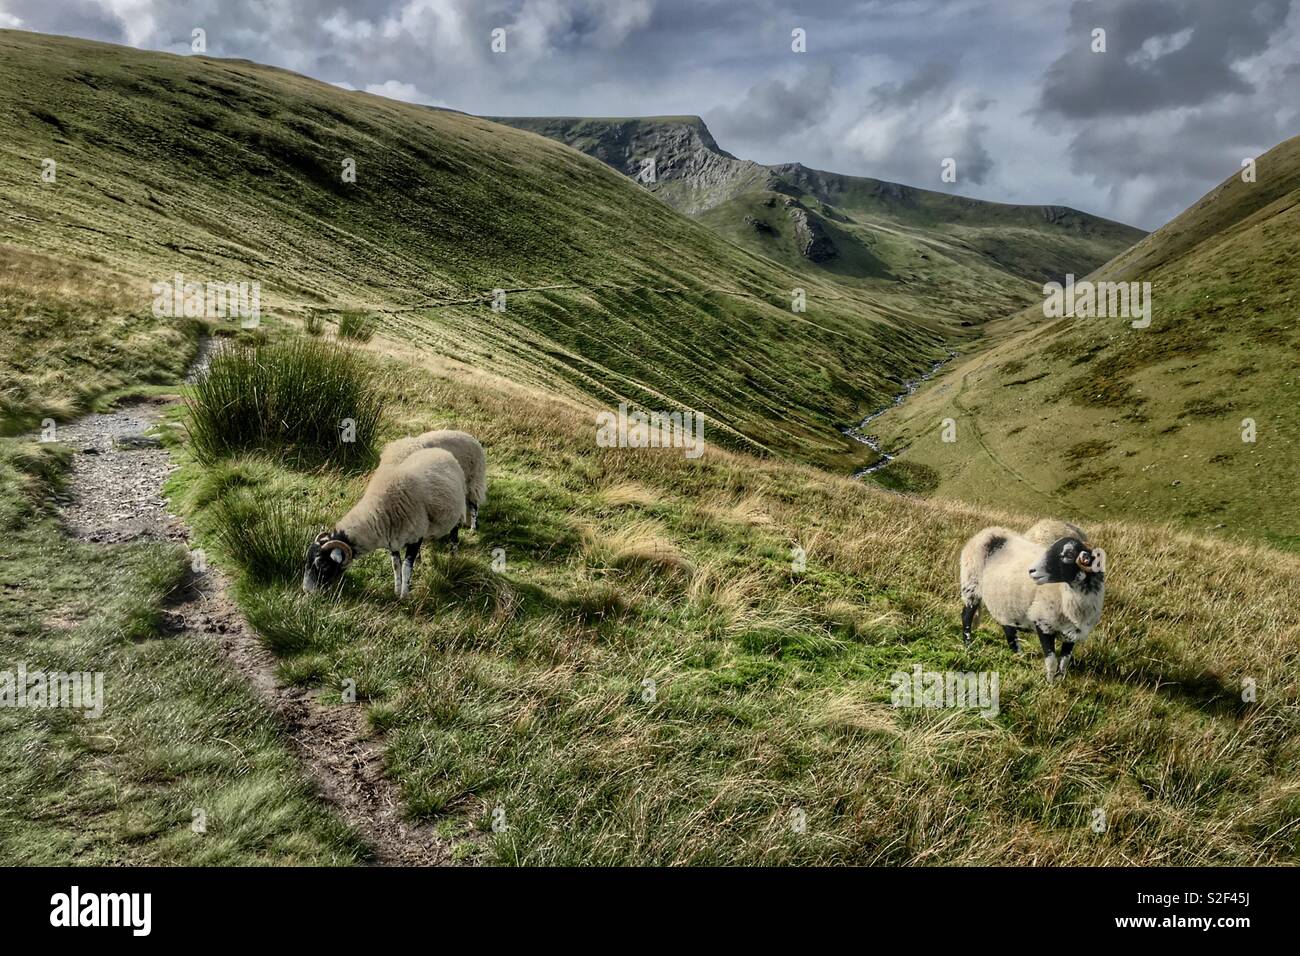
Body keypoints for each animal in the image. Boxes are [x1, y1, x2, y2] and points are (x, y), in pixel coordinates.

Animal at [303, 447, 467, 599]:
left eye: (323, 565)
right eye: (307, 560)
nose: (307, 591)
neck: (380, 511)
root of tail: (442, 451)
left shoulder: (416, 536)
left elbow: (406, 567)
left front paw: (404, 596)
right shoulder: (393, 540)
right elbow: (396, 566)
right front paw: (396, 591)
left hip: (459, 511)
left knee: (454, 533)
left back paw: (453, 555)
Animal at [959, 523, 1106, 680]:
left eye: (1069, 554)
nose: (1032, 570)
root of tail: (988, 531)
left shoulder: (1072, 633)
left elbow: (1064, 663)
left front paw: (1059, 681)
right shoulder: (1043, 622)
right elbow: (1051, 661)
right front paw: (1049, 683)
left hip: (1004, 600)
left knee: (1008, 627)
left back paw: (1019, 655)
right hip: (971, 586)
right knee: (966, 616)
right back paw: (968, 645)